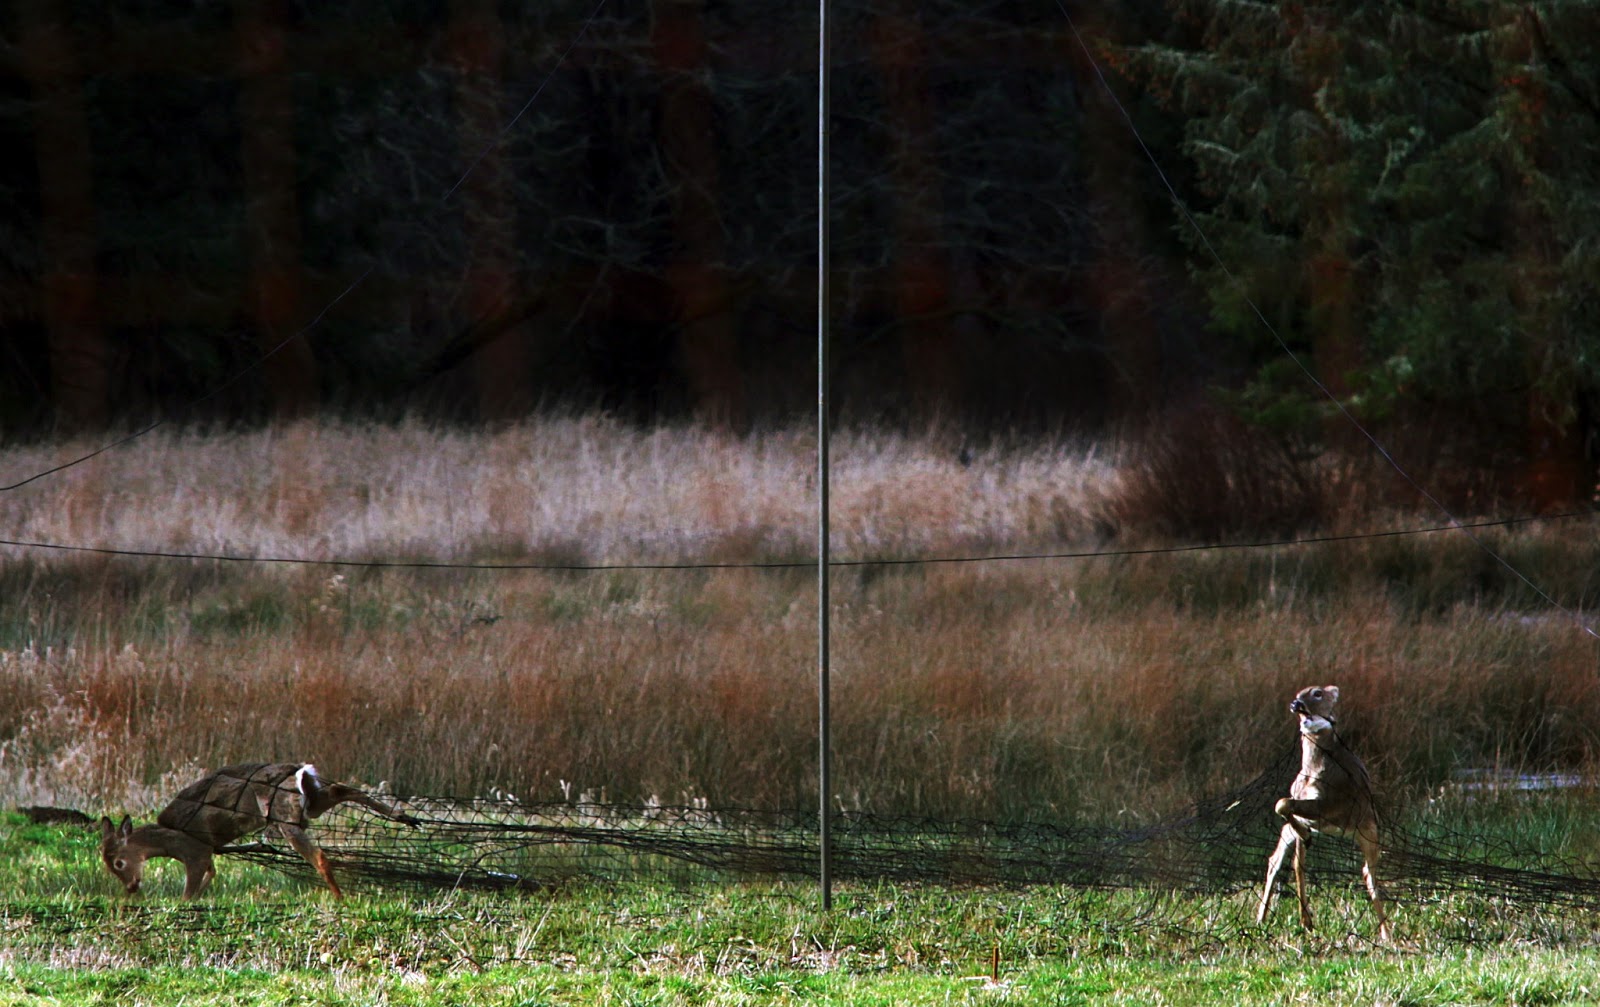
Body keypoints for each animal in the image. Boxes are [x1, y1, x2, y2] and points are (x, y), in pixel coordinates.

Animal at [99, 762, 415, 900]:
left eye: (119, 862)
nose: (131, 888)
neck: (166, 838)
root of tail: (297, 772)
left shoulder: (195, 851)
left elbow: (189, 890)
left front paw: (184, 903)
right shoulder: (209, 854)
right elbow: (212, 875)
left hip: (287, 817)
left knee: (320, 856)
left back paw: (339, 897)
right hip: (311, 805)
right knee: (343, 788)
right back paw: (405, 817)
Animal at [1256, 685, 1392, 941]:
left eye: (1317, 693)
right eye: (1299, 694)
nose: (1296, 704)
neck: (1313, 770)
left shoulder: (1331, 805)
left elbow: (1283, 804)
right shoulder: (1304, 807)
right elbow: (1284, 808)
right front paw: (1305, 919)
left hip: (1368, 830)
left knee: (1368, 874)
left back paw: (1386, 933)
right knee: (1276, 860)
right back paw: (1265, 918)